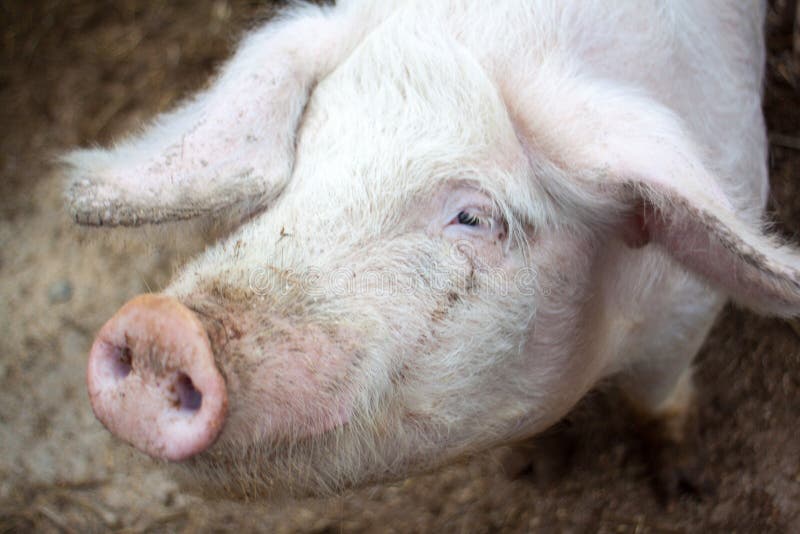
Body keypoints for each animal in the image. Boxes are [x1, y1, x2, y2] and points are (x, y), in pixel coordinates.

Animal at [64, 0, 800, 499]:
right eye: (298, 168)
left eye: (472, 216)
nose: (160, 327)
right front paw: (533, 472)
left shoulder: (690, 310)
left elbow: (655, 398)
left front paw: (681, 487)